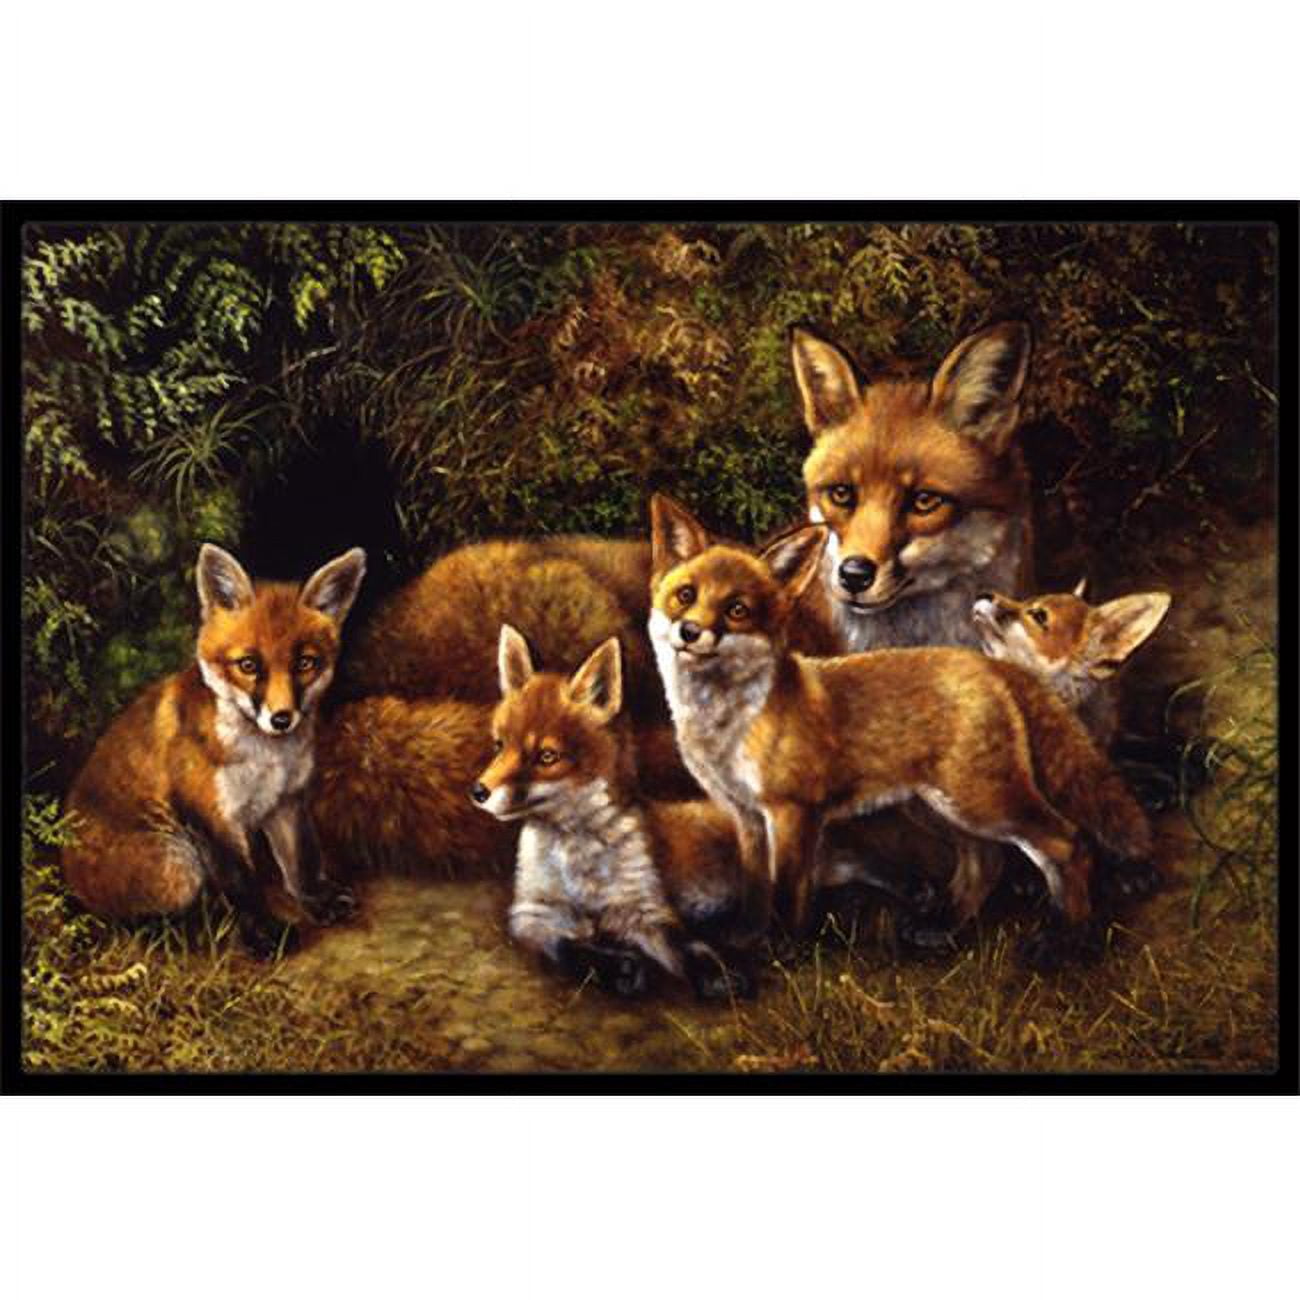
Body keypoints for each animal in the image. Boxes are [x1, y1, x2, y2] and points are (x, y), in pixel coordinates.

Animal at [62, 544, 367, 959]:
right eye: (249, 665)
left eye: (305, 663)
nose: (282, 718)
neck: (266, 757)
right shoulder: (212, 816)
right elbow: (243, 884)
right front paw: (266, 935)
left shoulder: (286, 800)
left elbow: (300, 860)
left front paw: (316, 900)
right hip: (179, 863)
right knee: (125, 920)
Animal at [469, 625, 754, 999]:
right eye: (500, 745)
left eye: (546, 757)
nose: (478, 792)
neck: (577, 857)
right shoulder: (533, 914)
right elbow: (566, 946)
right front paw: (615, 965)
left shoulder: (643, 908)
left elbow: (685, 944)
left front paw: (714, 970)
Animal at [646, 494, 1153, 956]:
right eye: (686, 595)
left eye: (737, 610)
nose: (690, 632)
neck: (730, 724)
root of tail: (990, 664)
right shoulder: (746, 817)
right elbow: (755, 888)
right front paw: (747, 938)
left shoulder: (793, 812)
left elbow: (787, 892)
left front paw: (780, 951)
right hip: (938, 807)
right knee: (985, 862)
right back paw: (942, 926)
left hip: (982, 801)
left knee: (1068, 843)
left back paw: (1065, 941)